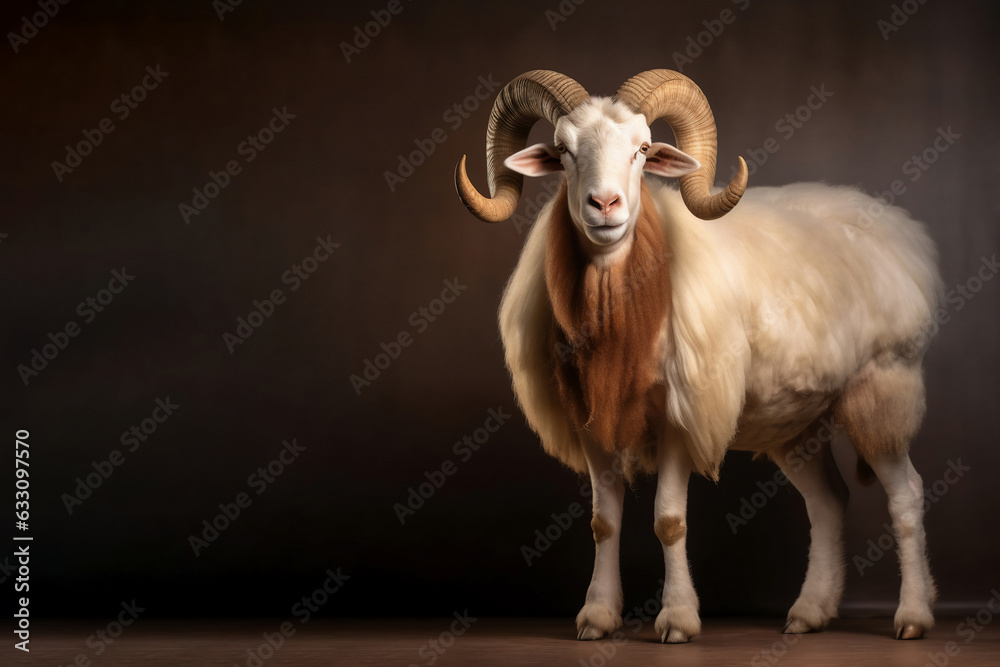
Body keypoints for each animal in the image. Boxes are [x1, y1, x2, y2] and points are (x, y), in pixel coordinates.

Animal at [455, 69, 942, 643]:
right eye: (563, 151)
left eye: (642, 149)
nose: (605, 206)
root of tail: (898, 232)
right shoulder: (592, 422)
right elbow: (603, 523)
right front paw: (597, 616)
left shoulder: (681, 415)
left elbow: (669, 520)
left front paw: (679, 619)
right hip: (795, 421)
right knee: (828, 502)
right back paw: (809, 612)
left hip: (884, 387)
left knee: (906, 495)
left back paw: (912, 616)